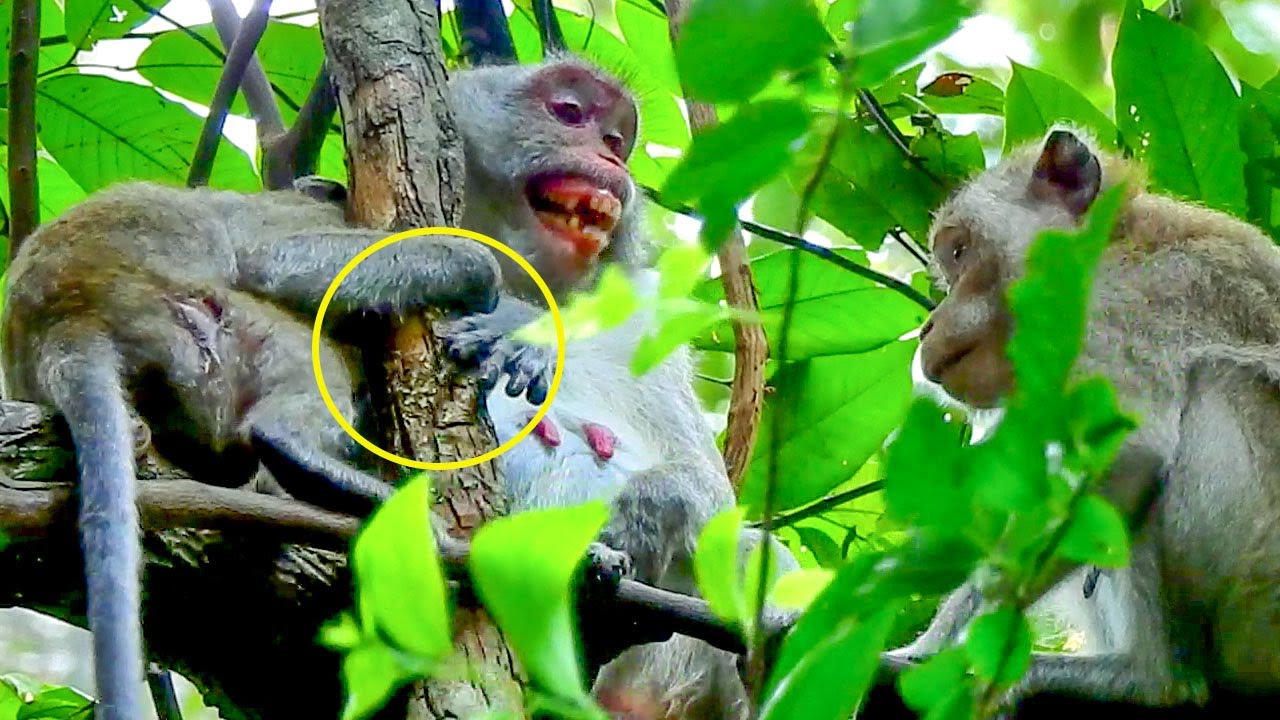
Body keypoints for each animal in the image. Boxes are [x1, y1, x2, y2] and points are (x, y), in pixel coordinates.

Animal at [881, 125, 1280, 713]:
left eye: (959, 252)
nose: (930, 325)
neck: (1108, 243)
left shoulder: (1114, 310)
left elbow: (1128, 459)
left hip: (1259, 597)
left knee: (1213, 388)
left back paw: (1150, 677)